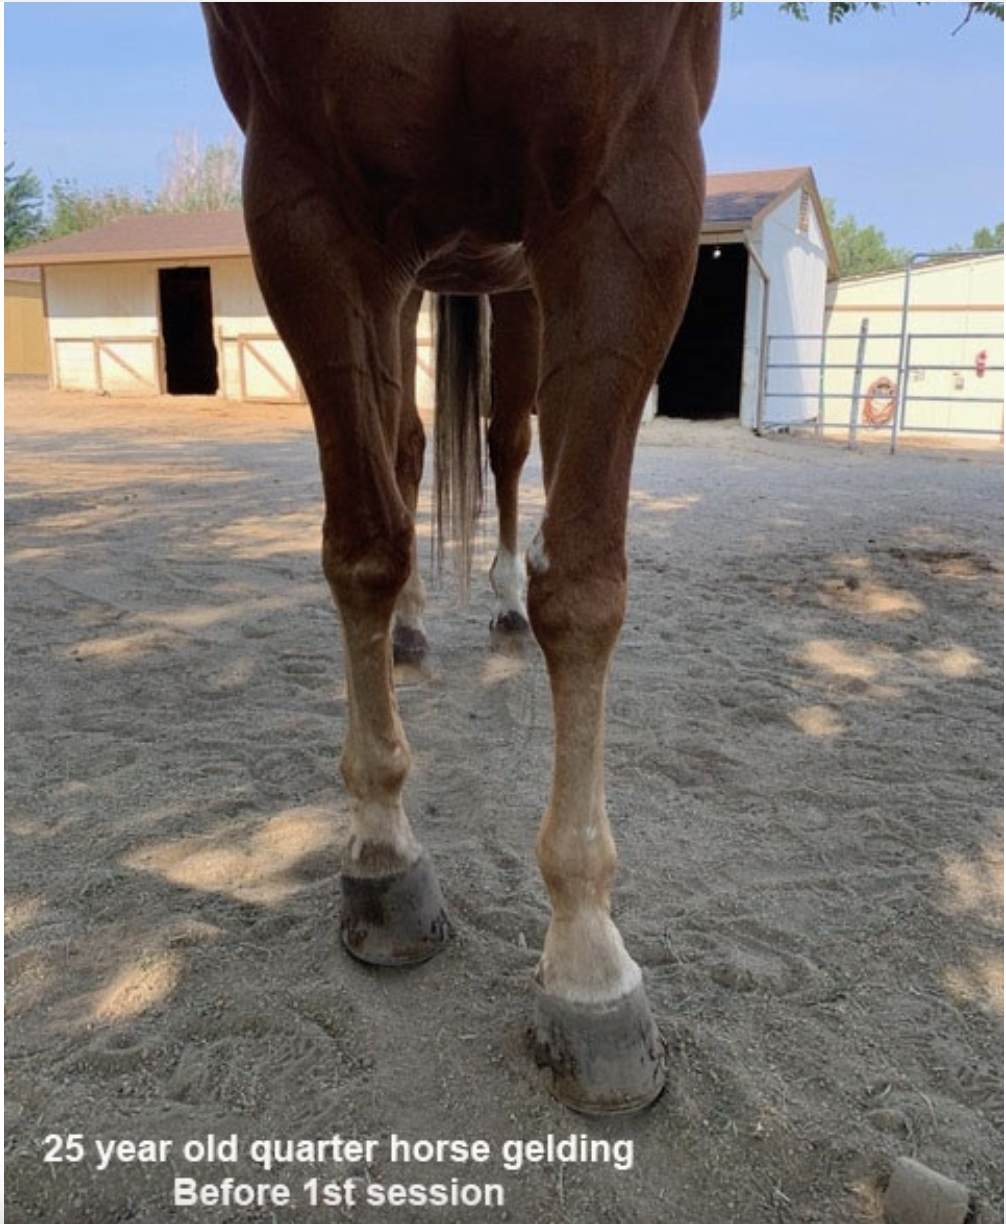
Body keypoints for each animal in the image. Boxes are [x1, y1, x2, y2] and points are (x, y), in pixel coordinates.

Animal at [203, 3, 721, 1113]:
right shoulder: (306, 200)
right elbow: (363, 543)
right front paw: (383, 857)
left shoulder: (630, 181)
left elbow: (583, 587)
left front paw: (586, 964)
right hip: (404, 275)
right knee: (402, 449)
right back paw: (406, 630)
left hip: (516, 279)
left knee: (509, 445)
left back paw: (502, 599)